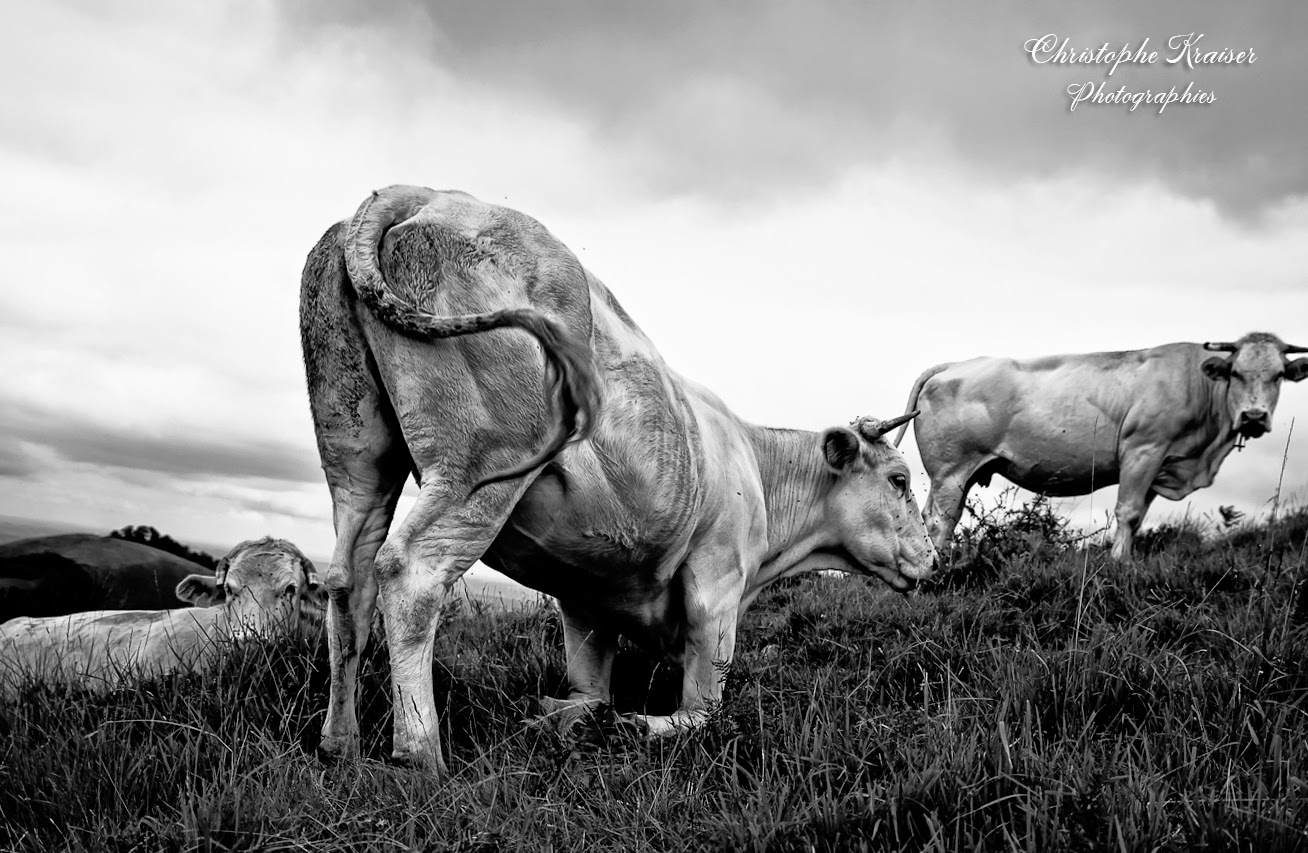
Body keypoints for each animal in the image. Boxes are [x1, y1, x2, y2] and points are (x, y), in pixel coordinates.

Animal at [300, 185, 937, 775]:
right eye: (900, 479)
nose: (934, 556)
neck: (756, 465)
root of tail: (426, 193)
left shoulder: (586, 598)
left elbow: (586, 691)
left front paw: (562, 717)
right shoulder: (716, 583)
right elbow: (700, 711)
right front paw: (624, 724)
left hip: (356, 452)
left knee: (349, 580)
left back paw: (340, 742)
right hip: (481, 462)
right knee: (410, 572)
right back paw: (421, 753)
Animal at [892, 333, 1308, 560]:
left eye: (1279, 375)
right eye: (1236, 373)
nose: (1253, 416)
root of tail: (955, 364)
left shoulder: (1160, 464)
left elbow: (1139, 515)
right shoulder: (1143, 451)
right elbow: (1127, 511)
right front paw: (1119, 561)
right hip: (950, 472)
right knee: (938, 520)